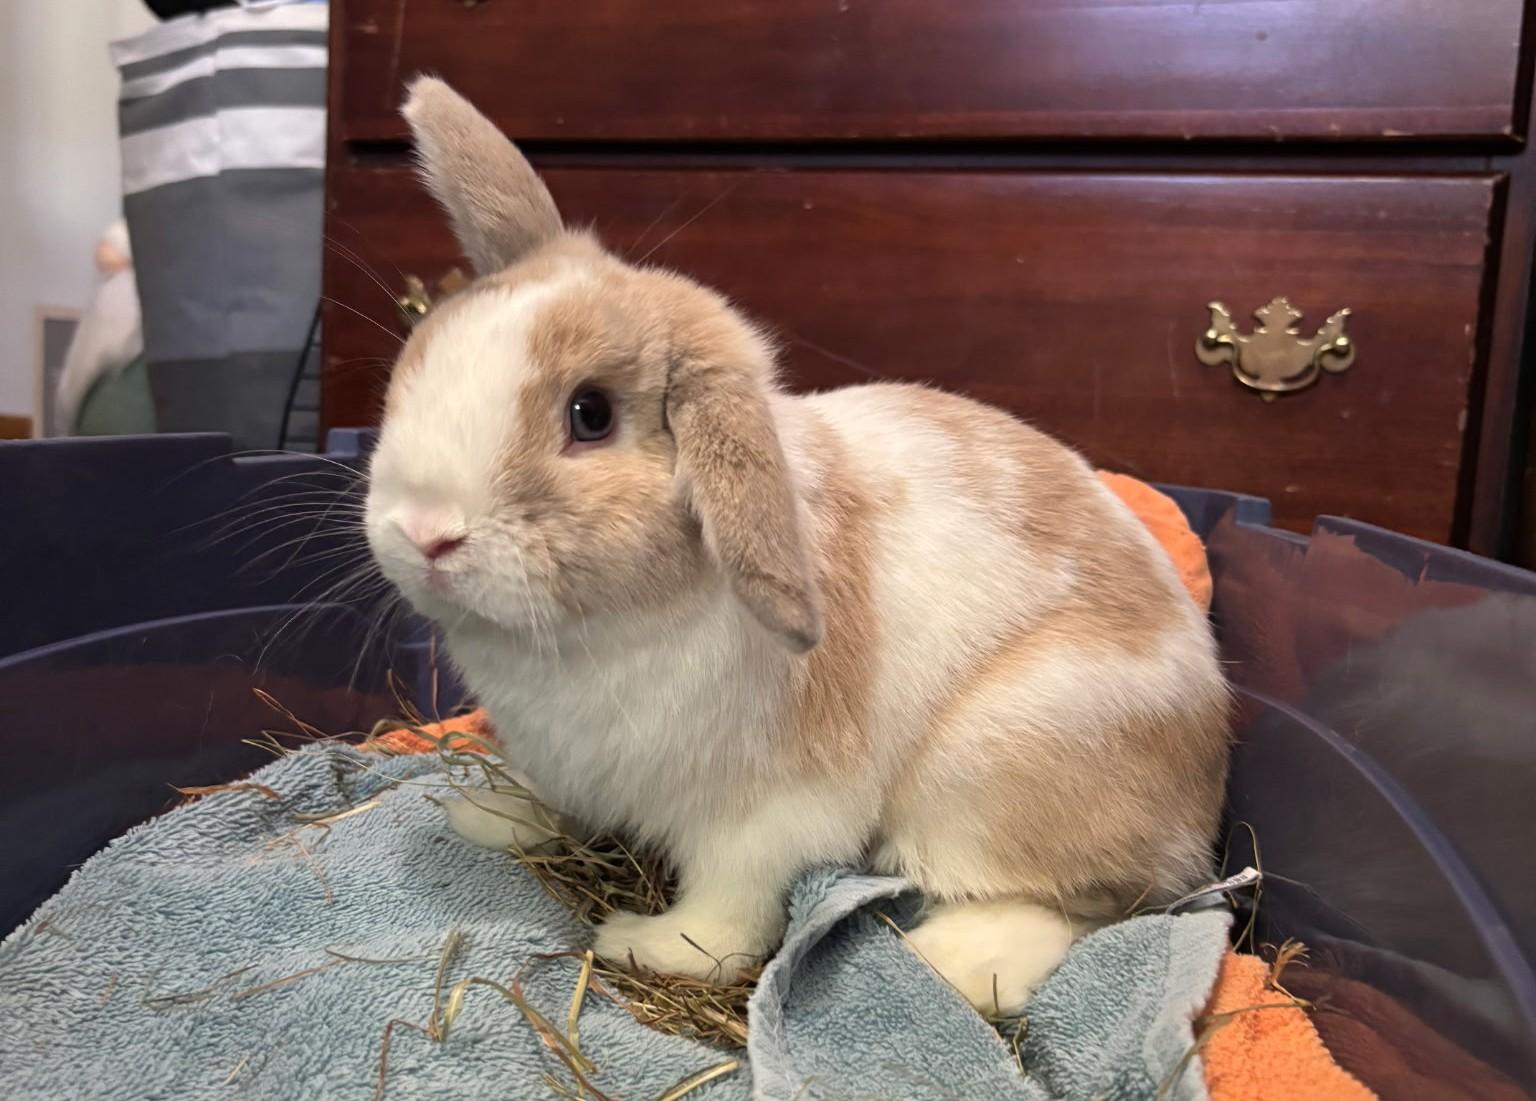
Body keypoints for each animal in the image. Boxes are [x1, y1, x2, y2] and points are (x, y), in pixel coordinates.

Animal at [364, 77, 1231, 1015]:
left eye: (590, 414)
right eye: (423, 352)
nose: (425, 531)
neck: (602, 627)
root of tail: (1203, 804)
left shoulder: (770, 814)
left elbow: (731, 905)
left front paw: (652, 947)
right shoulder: (557, 758)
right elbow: (548, 801)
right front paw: (489, 818)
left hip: (993, 769)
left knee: (1072, 903)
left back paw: (953, 963)